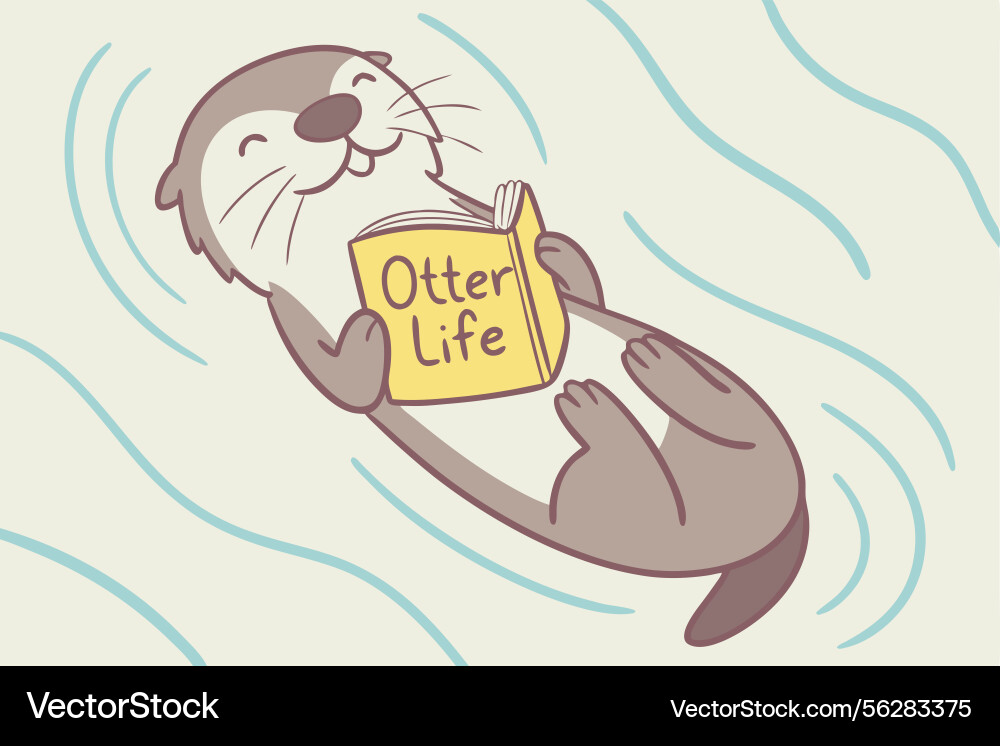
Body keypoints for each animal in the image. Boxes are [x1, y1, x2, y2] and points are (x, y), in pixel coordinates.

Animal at [156, 45, 807, 647]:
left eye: (361, 81)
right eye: (251, 144)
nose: (330, 113)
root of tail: (762, 522)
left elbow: (577, 281)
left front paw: (544, 251)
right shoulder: (291, 315)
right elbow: (349, 382)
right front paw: (370, 321)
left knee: (717, 420)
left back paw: (650, 373)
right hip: (584, 506)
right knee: (635, 487)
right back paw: (600, 407)